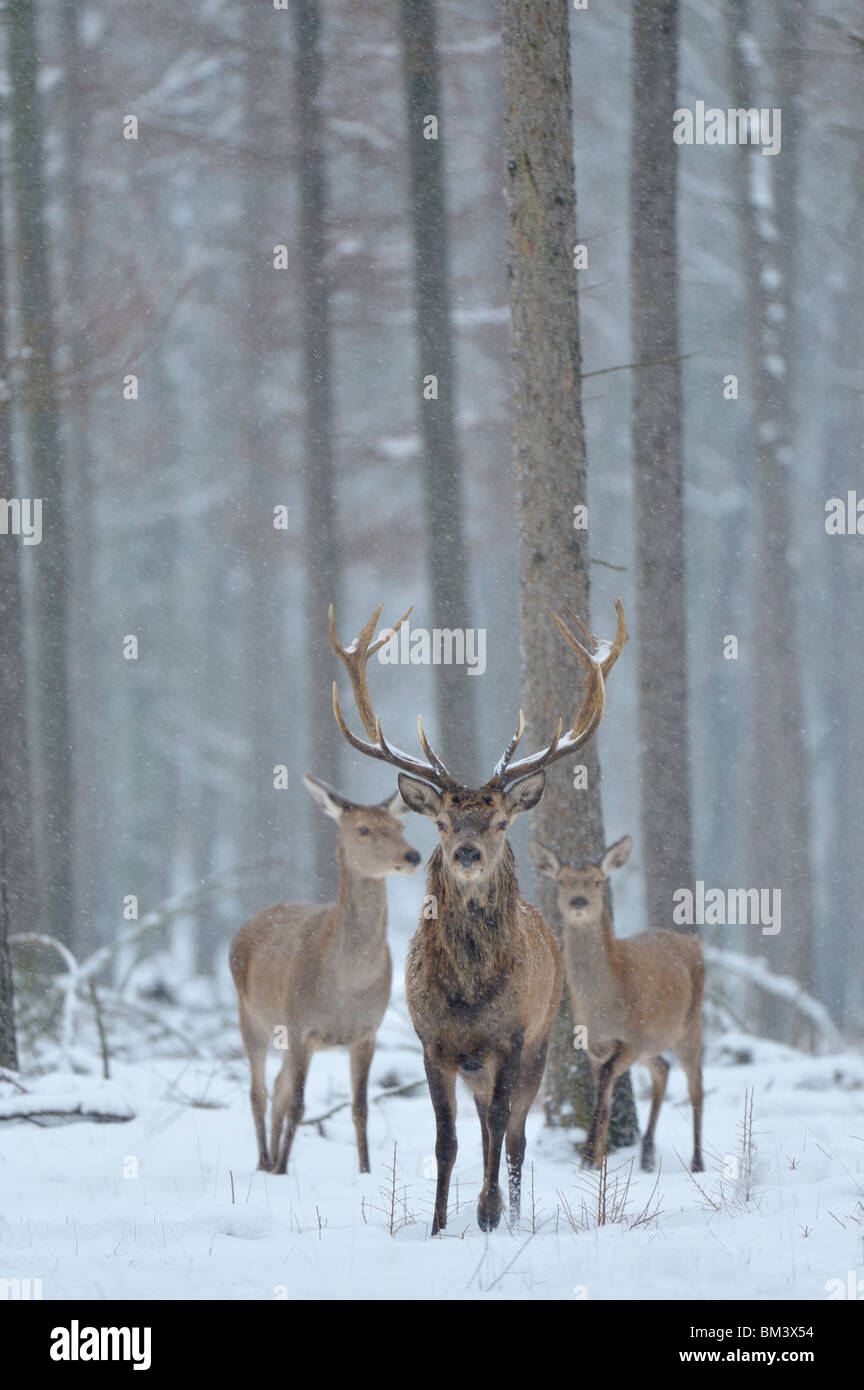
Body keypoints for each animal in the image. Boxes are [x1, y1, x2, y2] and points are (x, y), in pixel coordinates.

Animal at [228, 772, 421, 1176]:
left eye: (400, 826)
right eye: (363, 829)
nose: (411, 855)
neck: (347, 983)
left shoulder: (367, 1032)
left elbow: (360, 1109)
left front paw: (365, 1170)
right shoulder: (301, 1025)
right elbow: (299, 1105)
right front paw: (283, 1170)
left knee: (278, 1086)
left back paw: (271, 1159)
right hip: (251, 1015)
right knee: (259, 1090)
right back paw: (265, 1161)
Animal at [329, 599, 628, 1233]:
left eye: (500, 821)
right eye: (442, 822)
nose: (467, 852)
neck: (468, 994)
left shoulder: (512, 1037)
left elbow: (500, 1126)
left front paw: (489, 1211)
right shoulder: (433, 1043)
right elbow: (446, 1140)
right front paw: (441, 1223)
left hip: (541, 1037)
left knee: (512, 1133)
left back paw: (508, 1212)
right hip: (474, 1066)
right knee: (490, 1126)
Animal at [531, 834, 705, 1175]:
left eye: (598, 881)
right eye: (562, 881)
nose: (578, 901)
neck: (605, 1005)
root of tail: (694, 941)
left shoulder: (632, 1038)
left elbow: (604, 1089)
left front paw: (587, 1156)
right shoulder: (594, 1045)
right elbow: (605, 1097)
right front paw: (594, 1161)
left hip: (690, 1024)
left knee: (696, 1086)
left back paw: (697, 1162)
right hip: (653, 1042)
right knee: (662, 1069)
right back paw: (647, 1155)